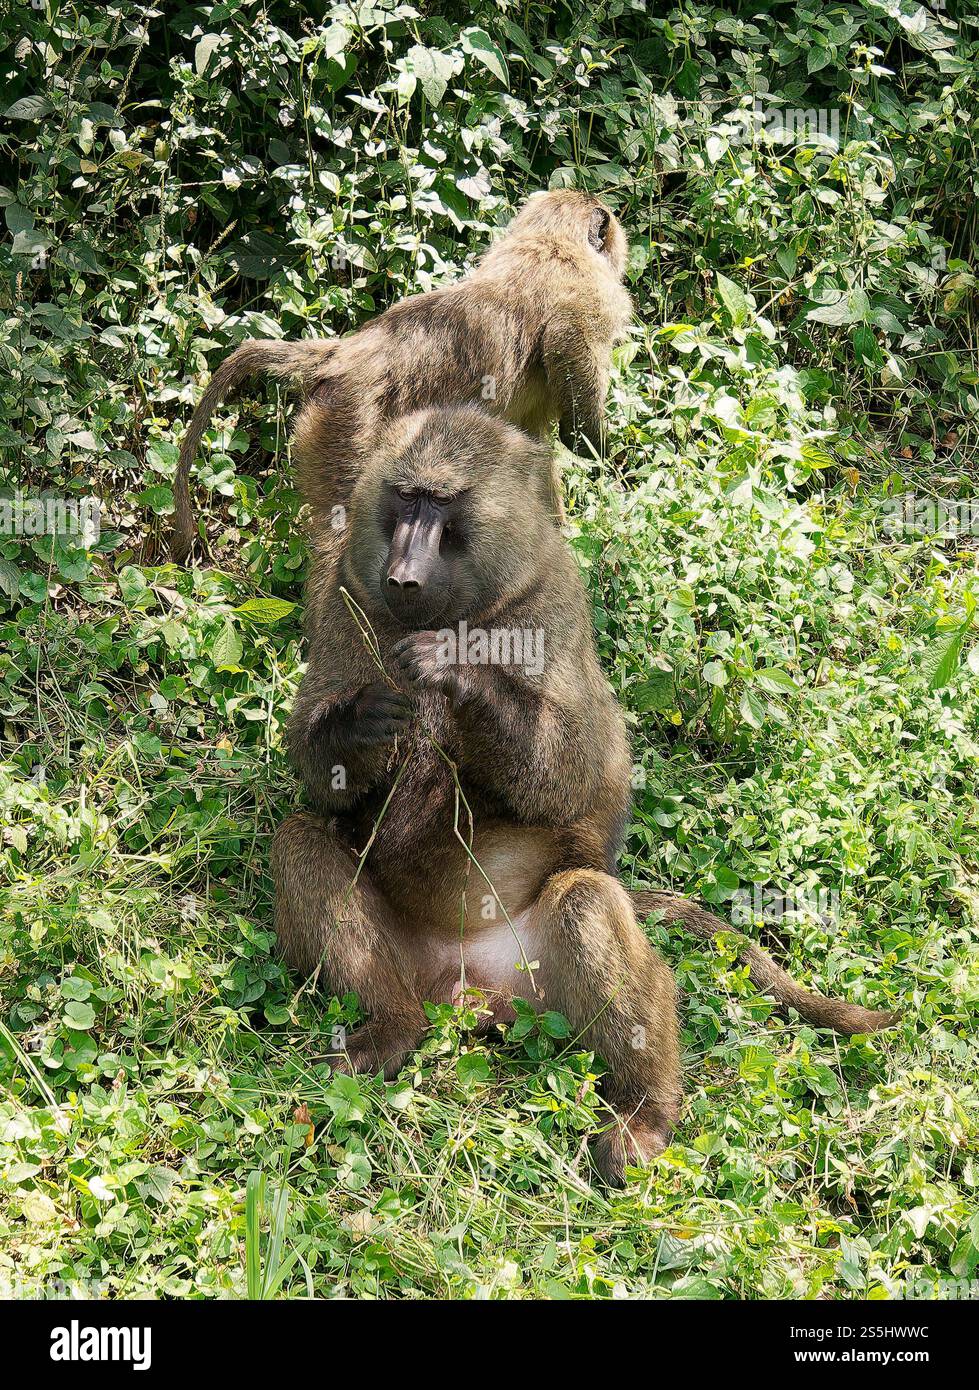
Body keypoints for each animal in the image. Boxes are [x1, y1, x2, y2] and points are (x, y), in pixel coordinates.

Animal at [170, 189, 631, 561]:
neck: (550, 242)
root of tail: (344, 353)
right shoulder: (590, 301)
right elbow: (575, 411)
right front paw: (606, 458)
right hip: (346, 421)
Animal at [270, 406, 898, 1186]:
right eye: (405, 497)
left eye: (442, 506)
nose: (403, 576)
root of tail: (462, 987)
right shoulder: (341, 599)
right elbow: (318, 774)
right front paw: (359, 722)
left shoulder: (556, 608)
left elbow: (573, 775)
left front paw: (456, 669)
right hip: (413, 968)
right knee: (299, 839)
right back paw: (390, 1028)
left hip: (539, 982)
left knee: (588, 899)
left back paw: (645, 1115)